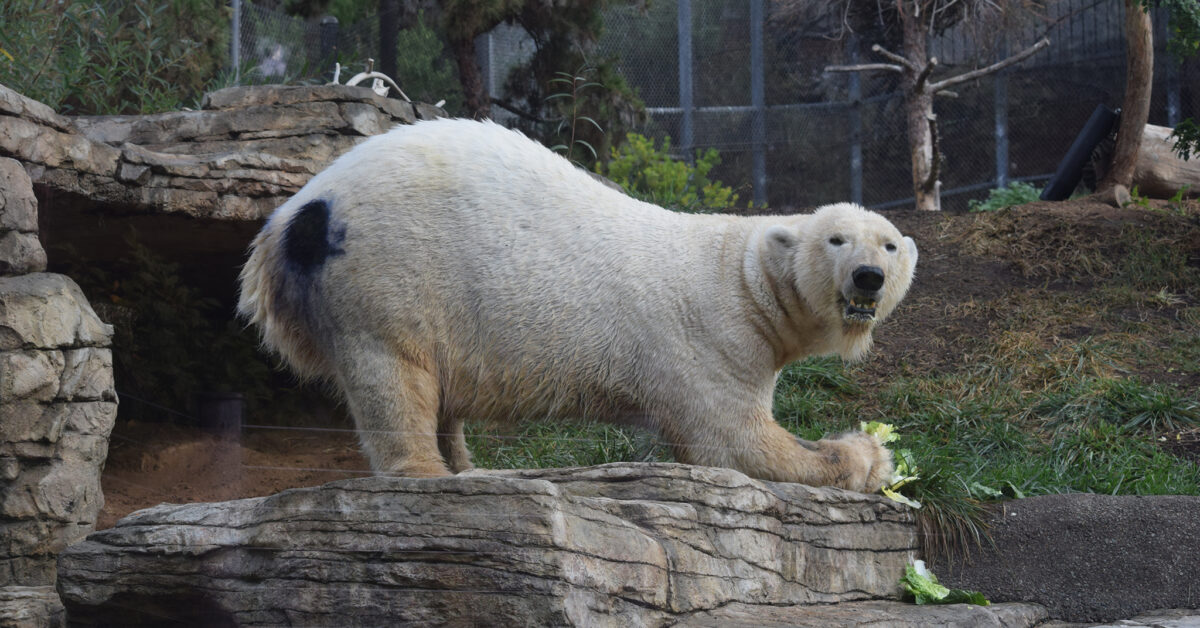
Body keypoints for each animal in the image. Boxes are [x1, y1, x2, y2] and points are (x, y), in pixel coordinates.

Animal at [238, 118, 918, 492]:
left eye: (888, 243)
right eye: (836, 239)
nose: (868, 277)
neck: (743, 278)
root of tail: (293, 218)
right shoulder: (712, 337)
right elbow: (734, 443)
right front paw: (869, 454)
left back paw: (469, 467)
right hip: (387, 269)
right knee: (395, 368)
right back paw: (428, 473)